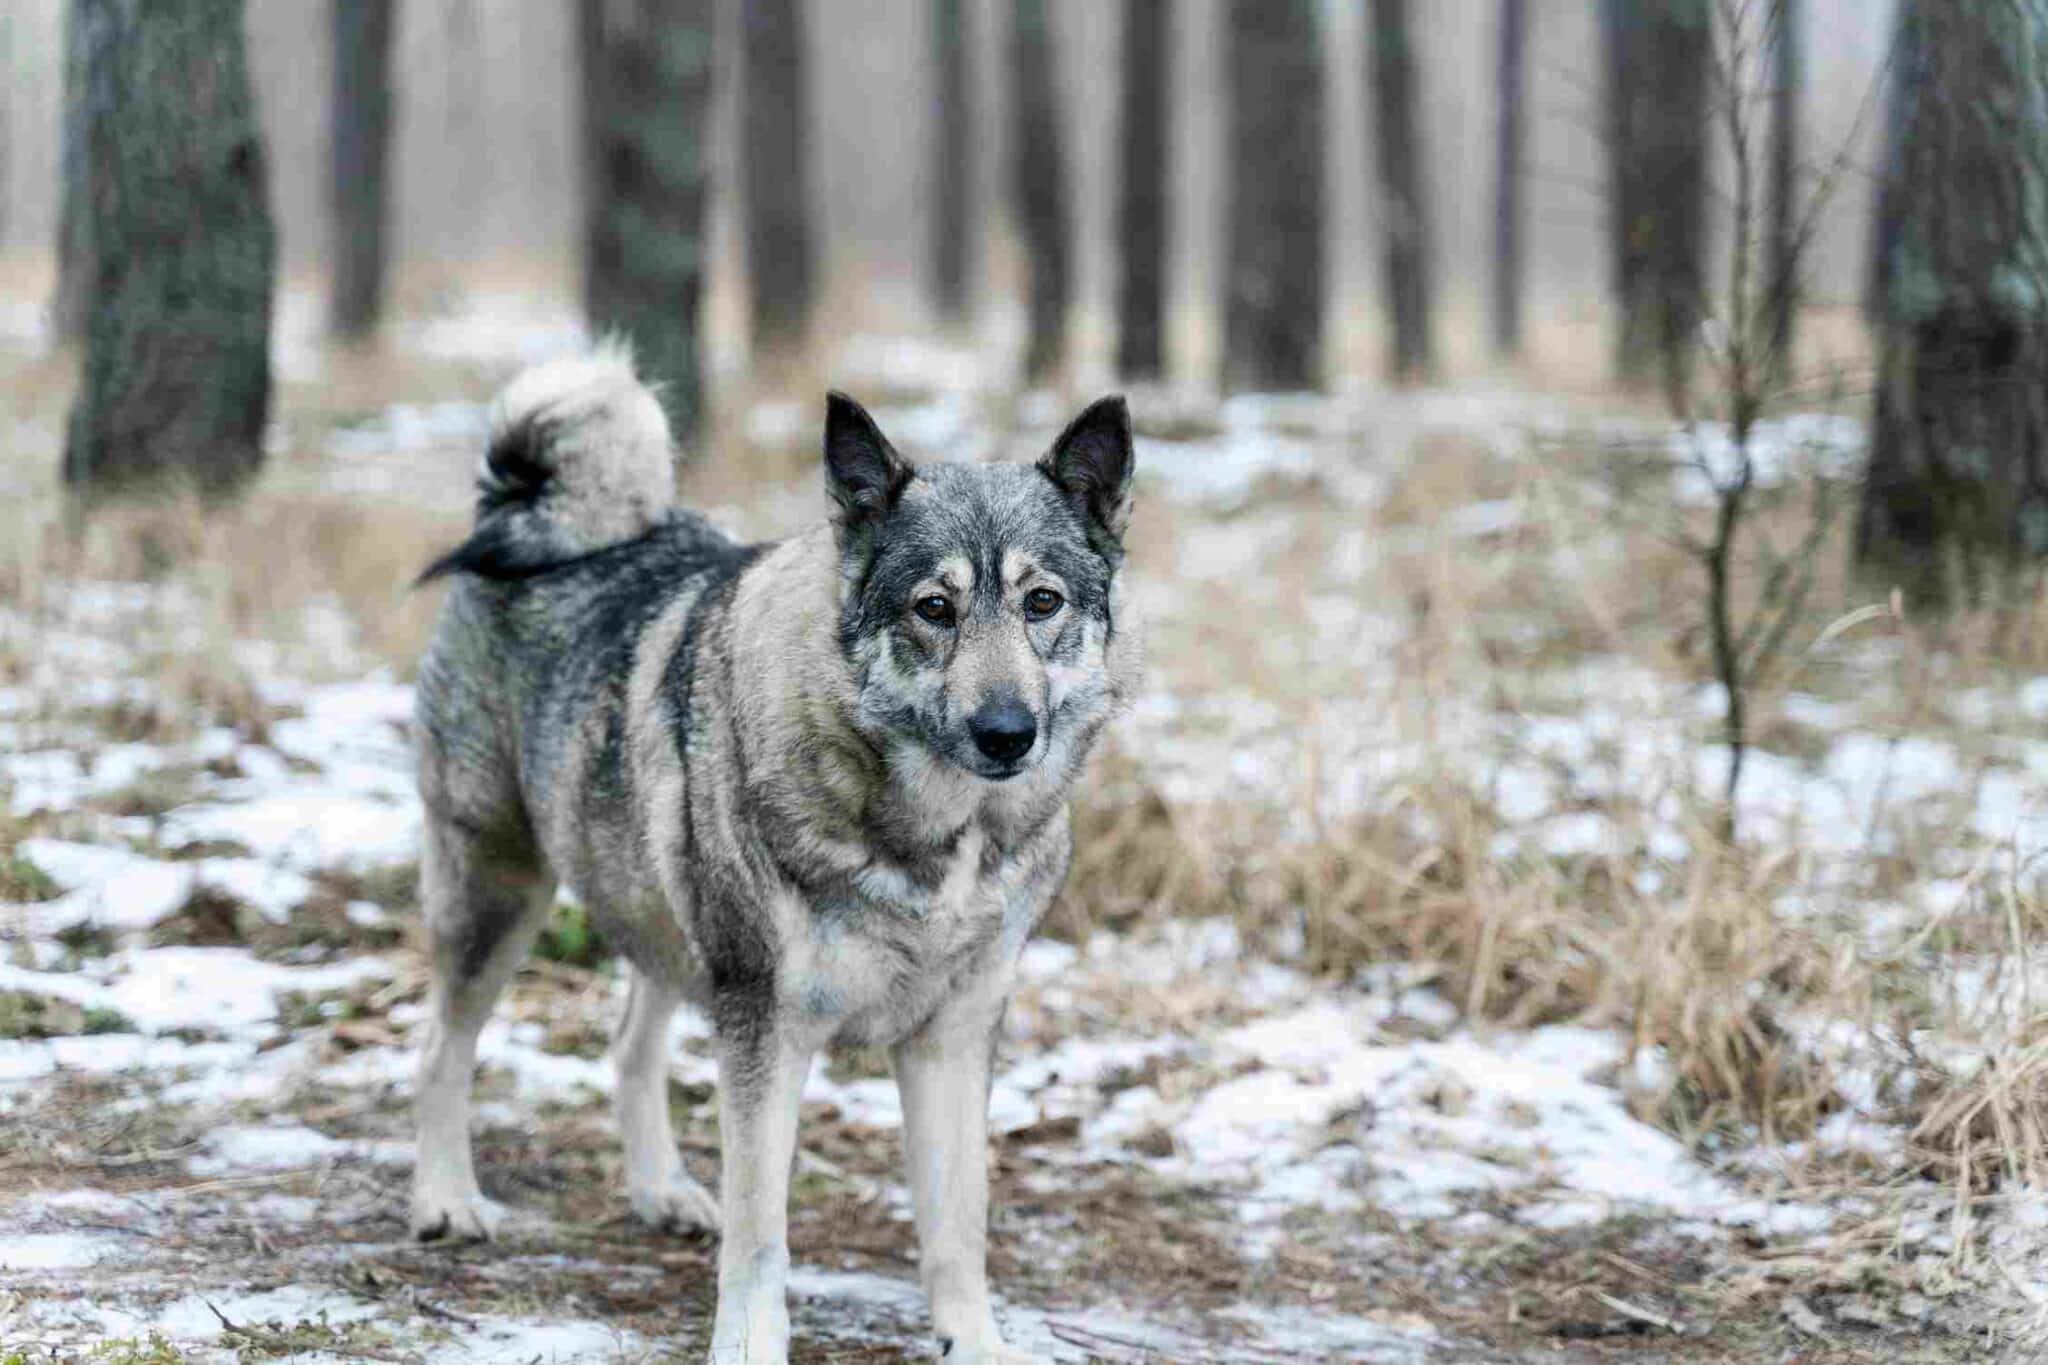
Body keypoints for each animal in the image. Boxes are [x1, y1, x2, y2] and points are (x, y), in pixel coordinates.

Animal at [408, 346, 1139, 1364]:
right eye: (935, 608)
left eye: (1043, 603)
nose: (1006, 733)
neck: (936, 840)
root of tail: (521, 505)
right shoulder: (769, 1029)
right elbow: (762, 1232)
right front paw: (750, 1343)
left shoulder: (951, 1039)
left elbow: (959, 1222)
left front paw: (975, 1341)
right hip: (501, 898)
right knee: (444, 1046)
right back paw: (446, 1200)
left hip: (667, 918)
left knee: (628, 1044)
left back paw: (661, 1190)